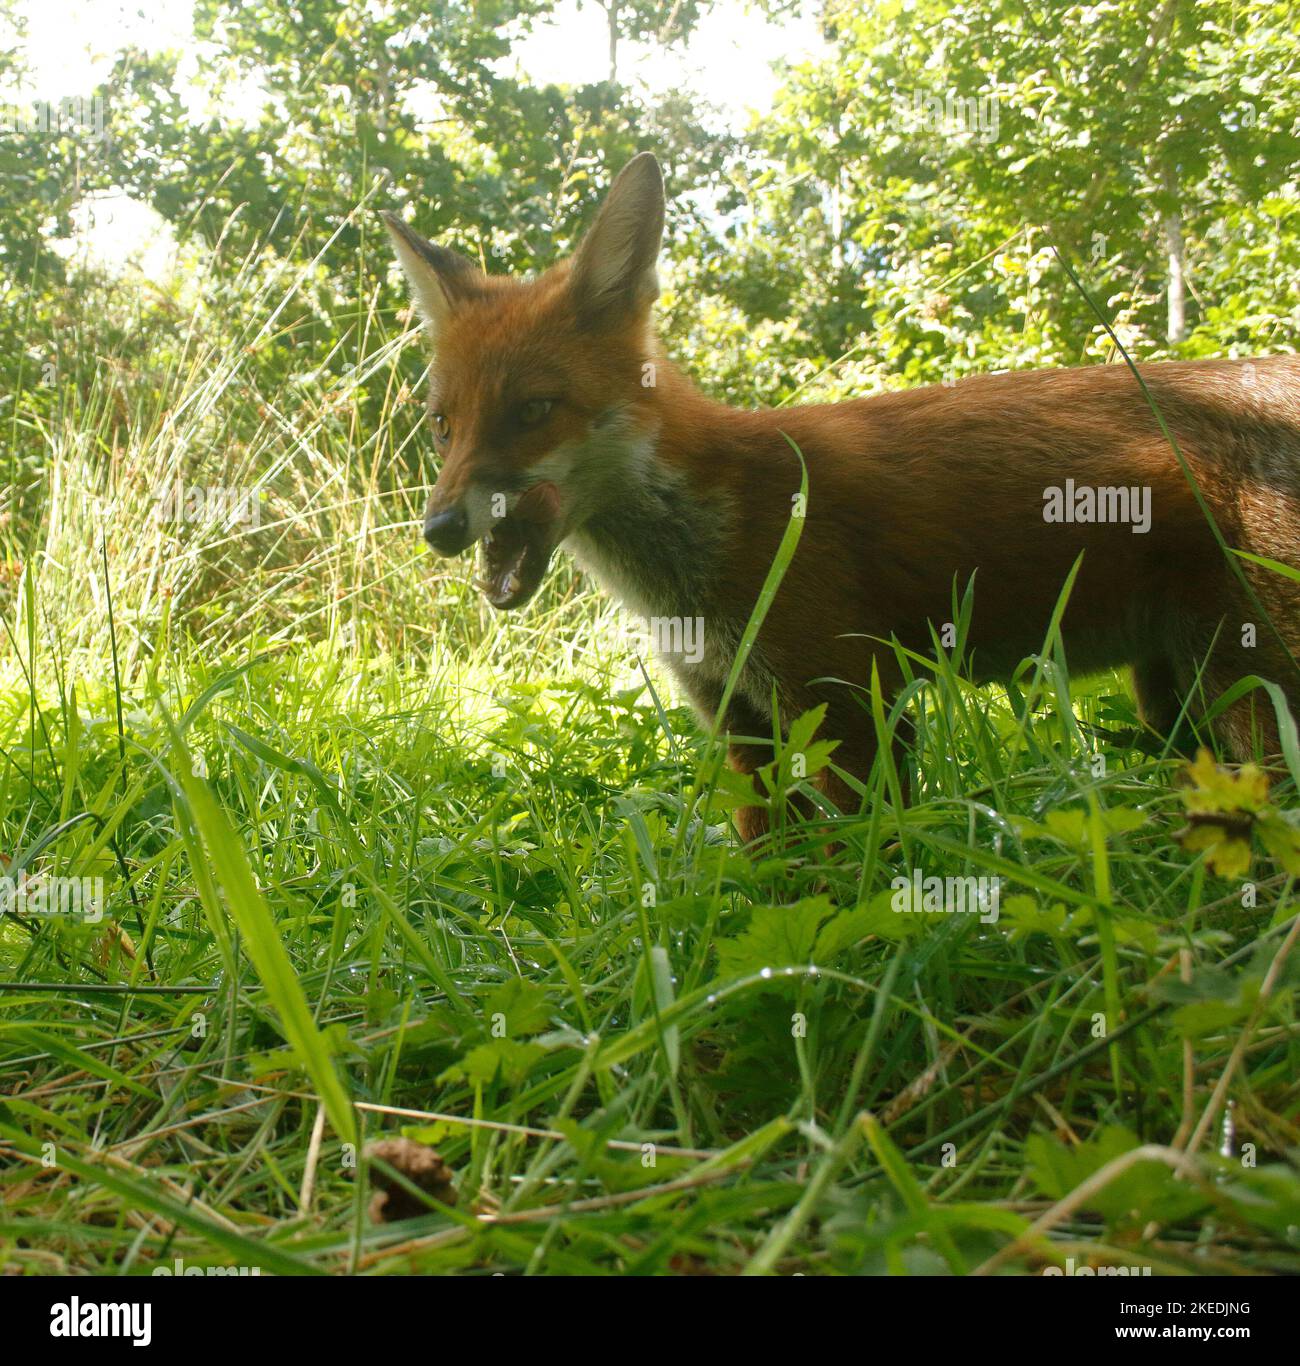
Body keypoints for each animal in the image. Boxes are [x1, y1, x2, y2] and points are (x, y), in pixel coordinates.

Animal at [384, 152, 1300, 841]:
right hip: (1175, 701)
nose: (439, 529)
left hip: (1250, 686)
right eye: (442, 426)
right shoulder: (739, 723)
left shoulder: (847, 705)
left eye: (533, 411)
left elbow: (865, 862)